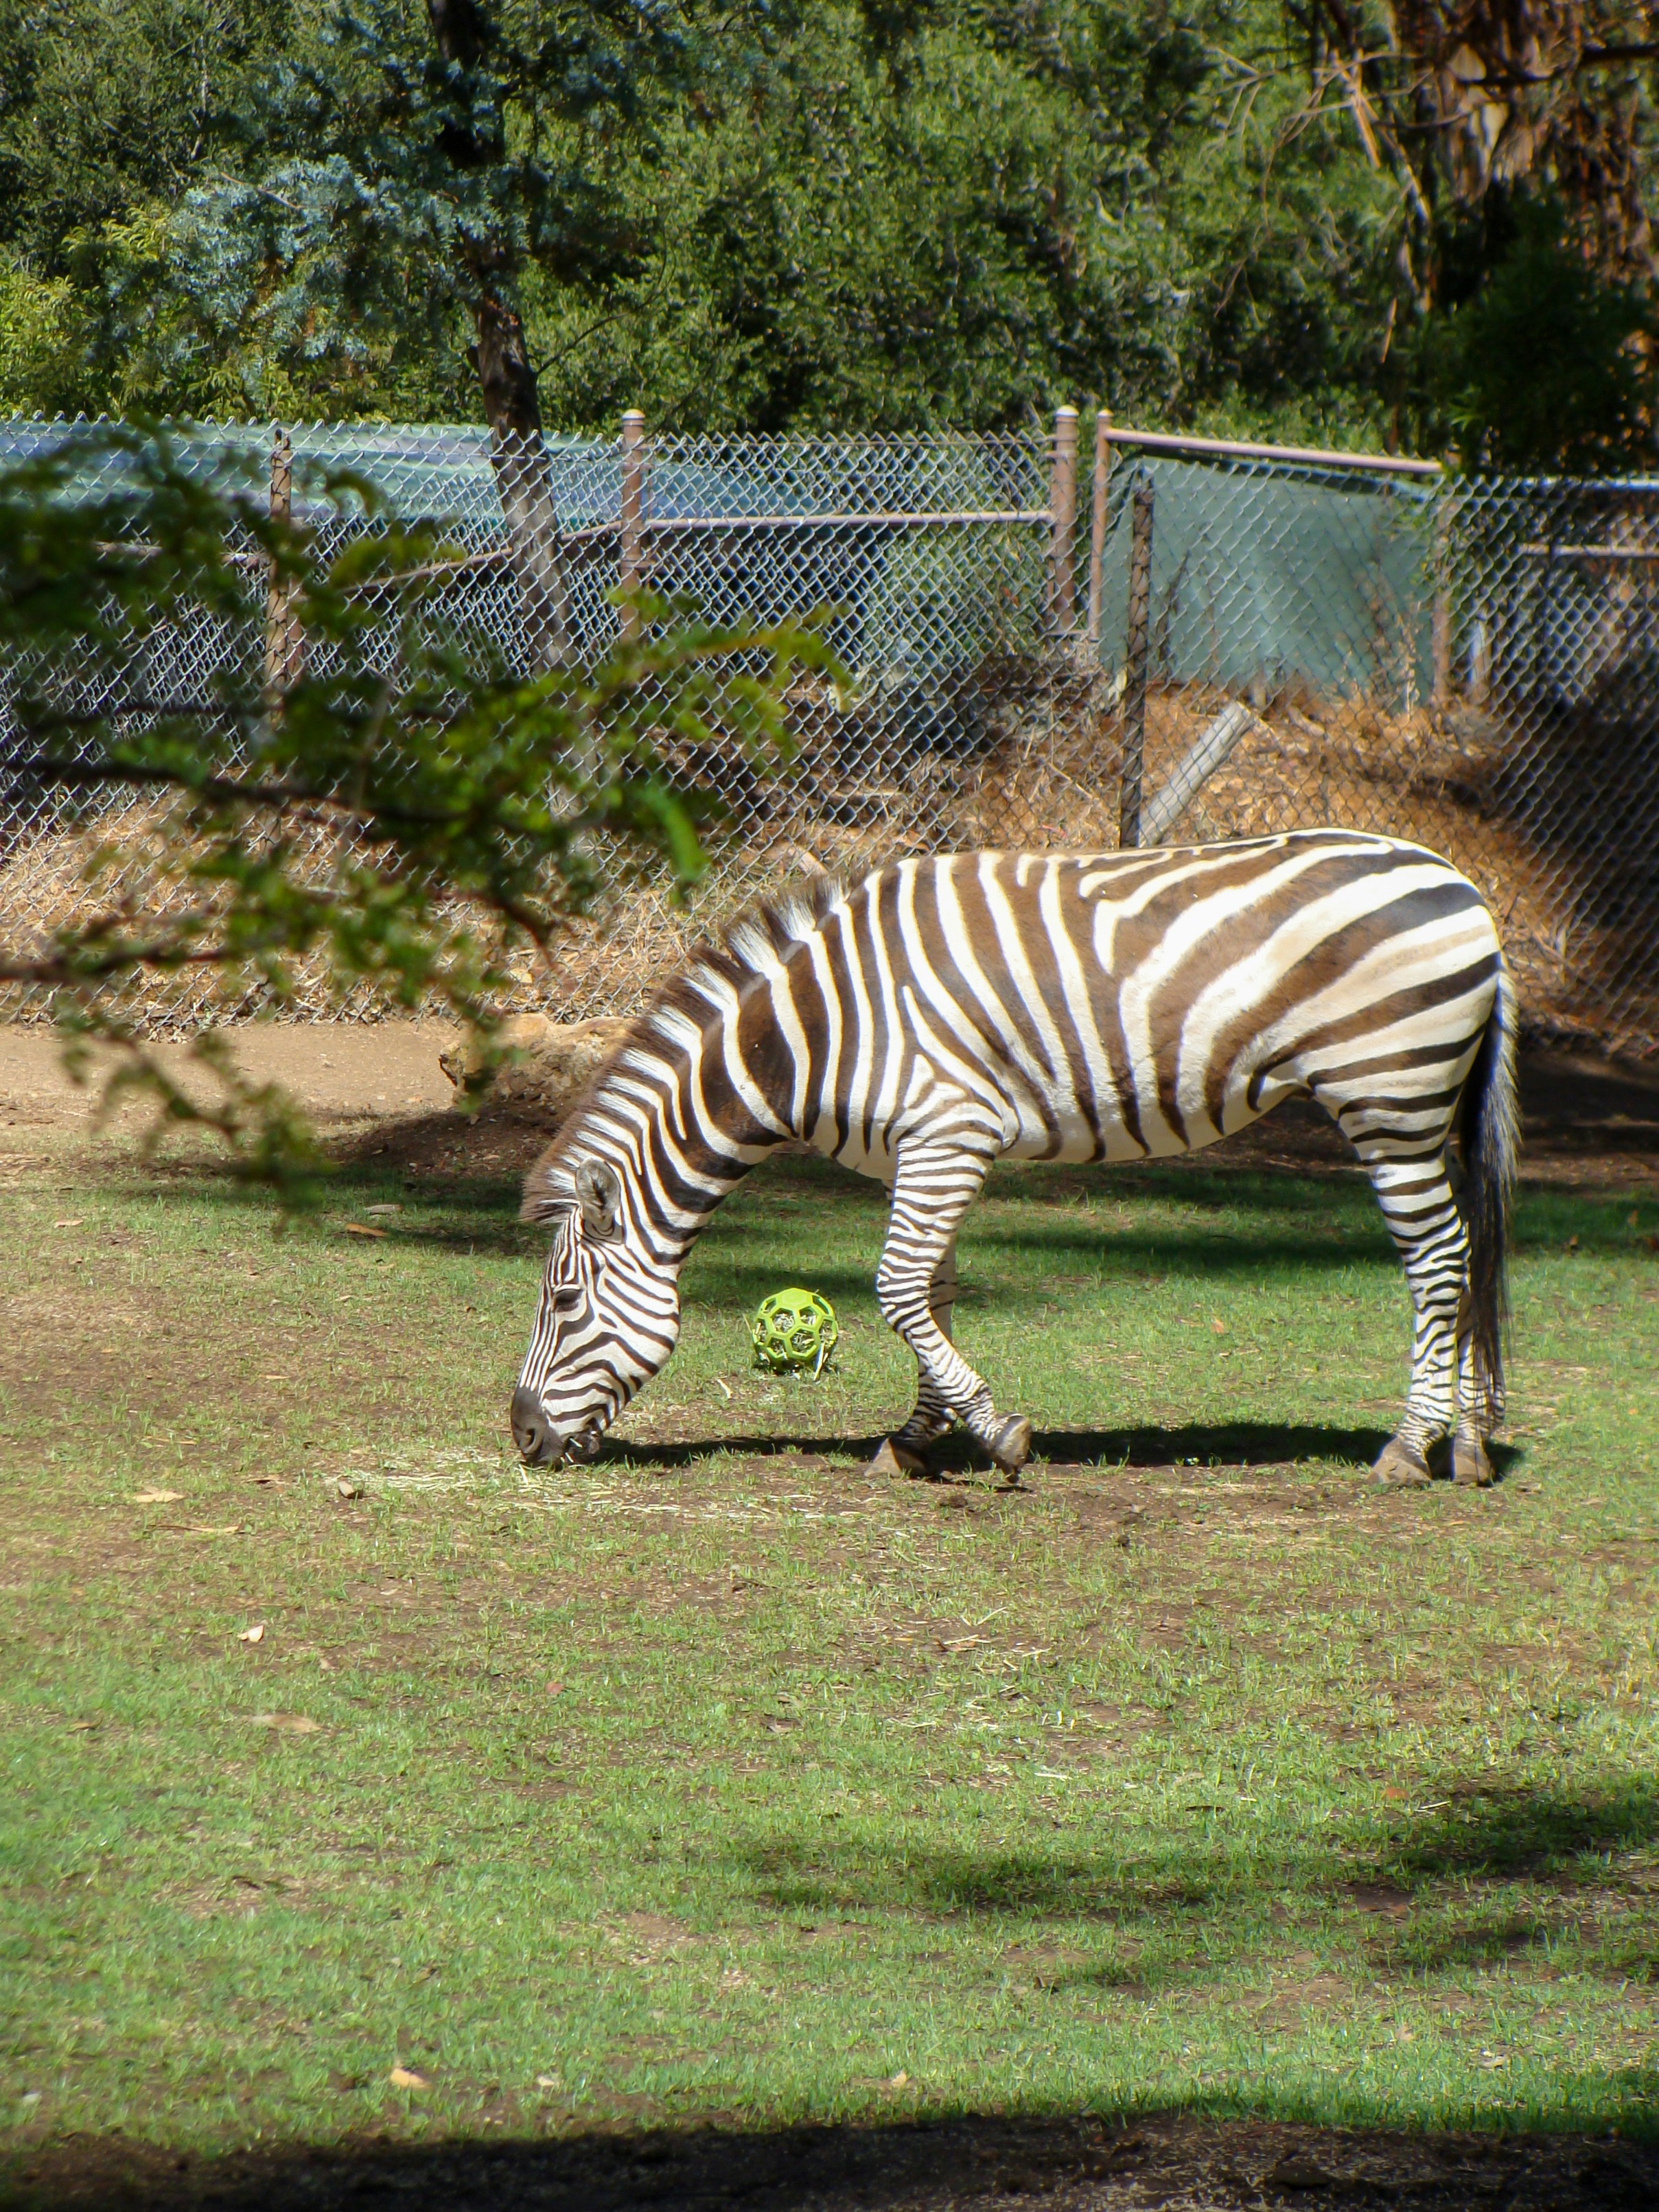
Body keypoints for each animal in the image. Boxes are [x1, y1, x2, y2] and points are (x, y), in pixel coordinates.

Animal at [511, 830, 1518, 1492]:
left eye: (562, 1302)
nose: (519, 1437)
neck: (811, 1036)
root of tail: (1460, 881)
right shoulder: (920, 1153)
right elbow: (932, 1292)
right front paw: (917, 1438)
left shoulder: (947, 1138)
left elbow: (898, 1291)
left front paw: (997, 1434)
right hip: (1426, 1102)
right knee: (1470, 1255)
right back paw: (1469, 1443)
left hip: (1388, 1094)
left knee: (1437, 1261)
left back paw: (1408, 1447)